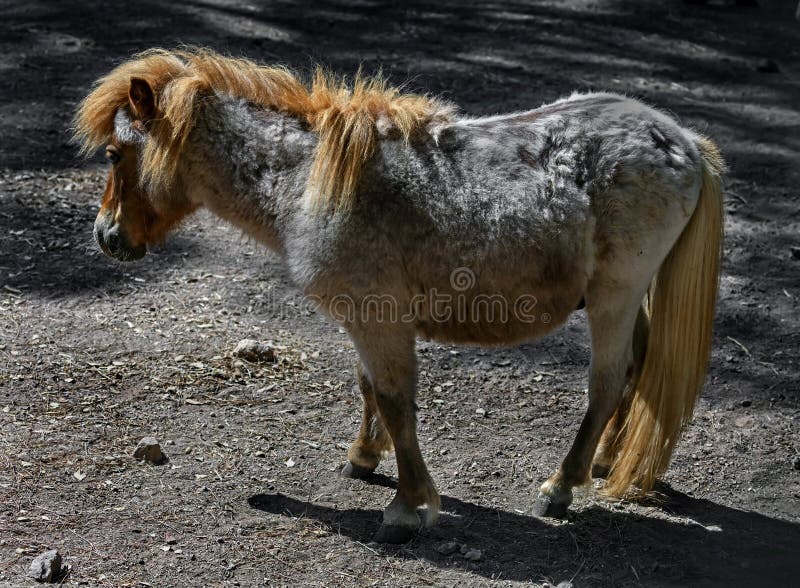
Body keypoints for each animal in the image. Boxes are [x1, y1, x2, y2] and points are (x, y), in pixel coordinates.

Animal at [75, 48, 724, 543]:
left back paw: (562, 485)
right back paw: (607, 459)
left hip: (615, 297)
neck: (306, 182)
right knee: (638, 368)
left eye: (115, 153)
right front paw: (364, 457)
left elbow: (394, 400)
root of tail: (682, 142)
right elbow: (370, 389)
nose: (107, 236)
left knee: (608, 381)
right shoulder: (369, 320)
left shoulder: (378, 320)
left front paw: (408, 506)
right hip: (629, 299)